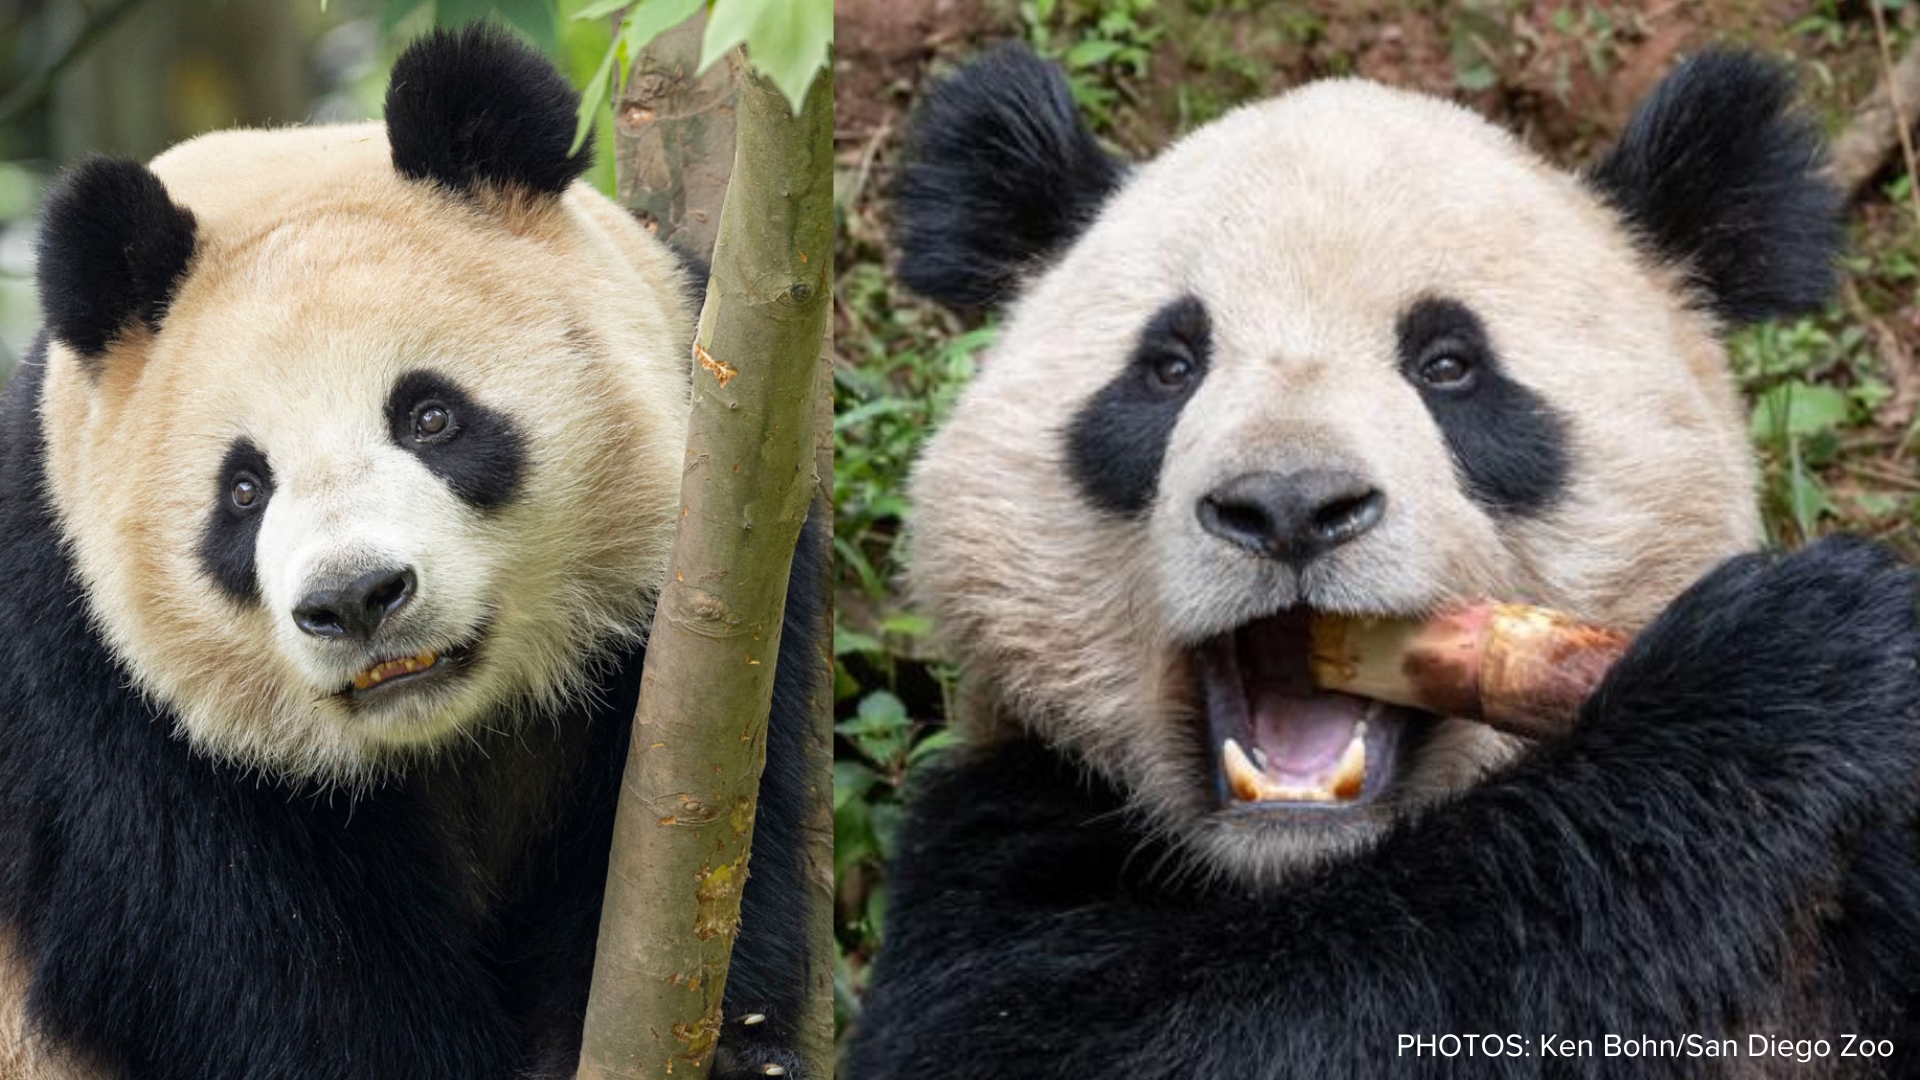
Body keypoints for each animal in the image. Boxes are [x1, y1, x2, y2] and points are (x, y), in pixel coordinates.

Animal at [0, 26, 816, 1080]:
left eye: (430, 416)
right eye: (244, 490)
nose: (355, 598)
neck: (440, 735)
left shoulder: (722, 585)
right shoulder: (84, 683)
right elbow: (273, 972)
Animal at [847, 44, 1920, 1080]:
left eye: (1450, 365)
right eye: (1168, 367)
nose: (1288, 505)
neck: (1303, 866)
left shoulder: (1865, 886)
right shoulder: (1000, 838)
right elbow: (1153, 1037)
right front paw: (1783, 665)